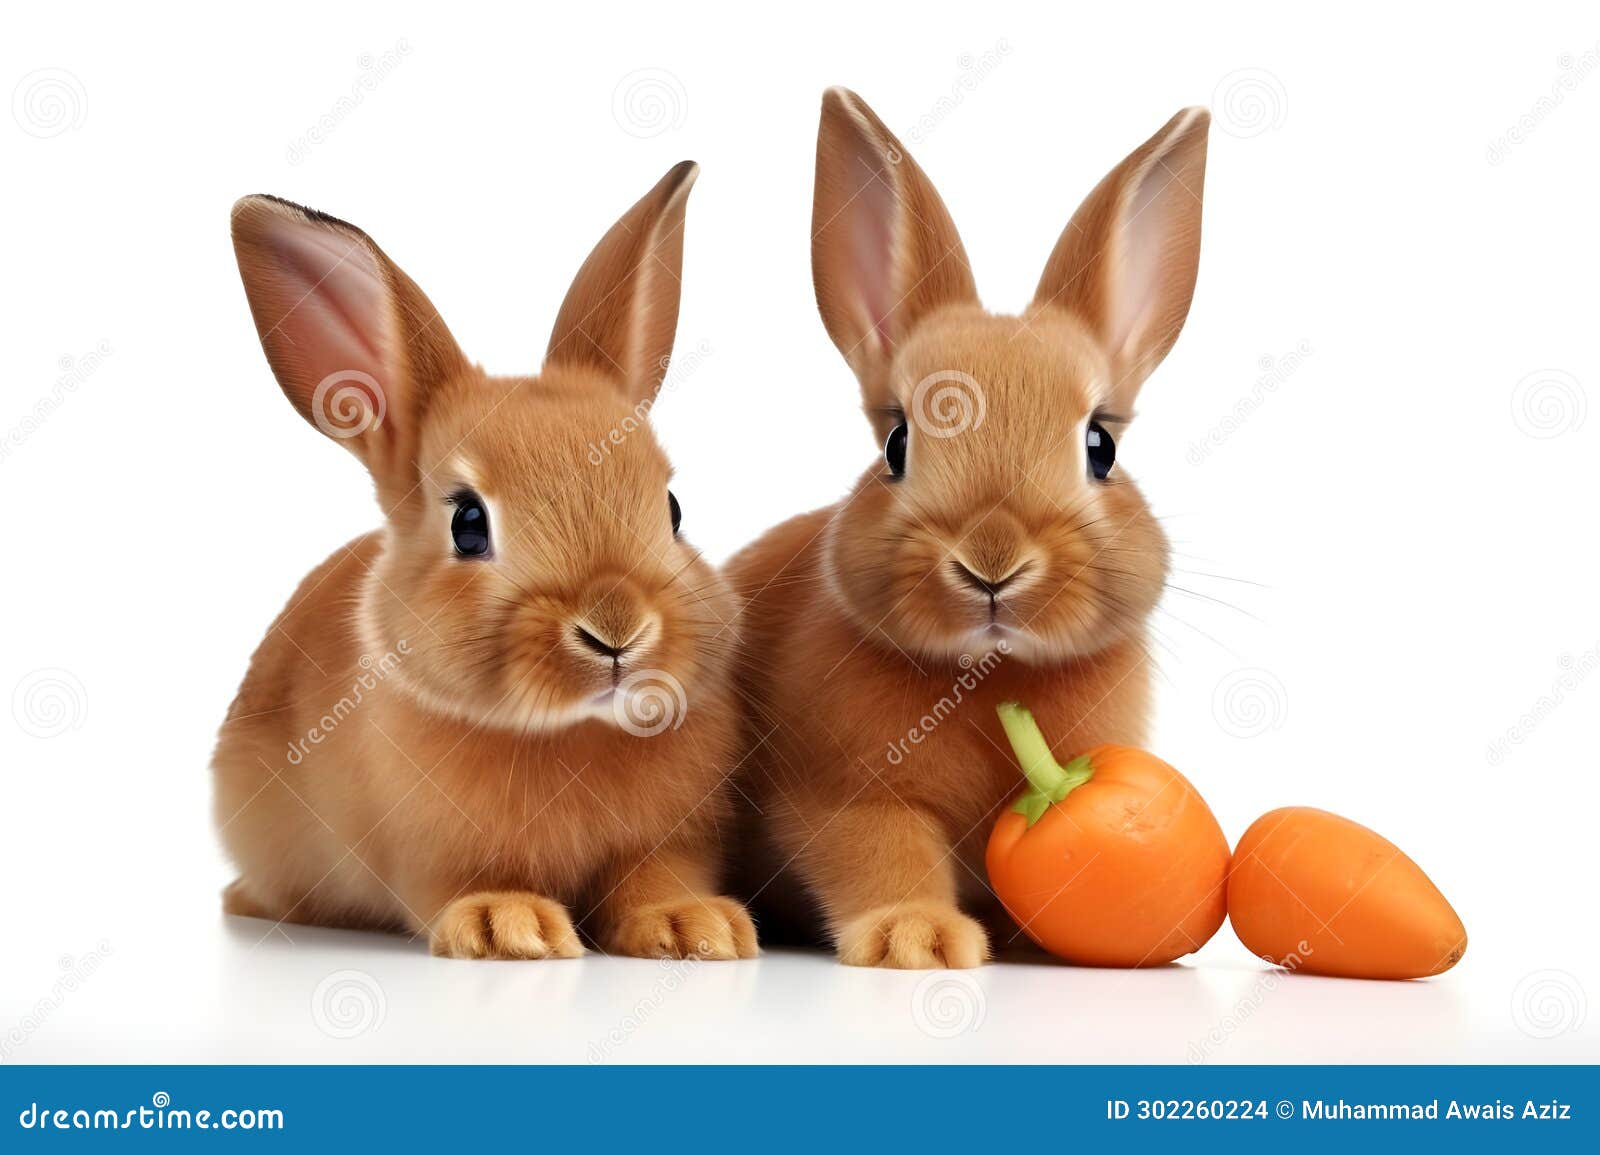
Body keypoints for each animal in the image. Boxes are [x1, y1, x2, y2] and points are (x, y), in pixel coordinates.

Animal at [213, 162, 757, 961]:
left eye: (674, 509)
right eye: (468, 524)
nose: (616, 630)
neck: (572, 731)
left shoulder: (670, 841)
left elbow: (656, 879)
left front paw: (698, 926)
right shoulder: (429, 854)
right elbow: (463, 885)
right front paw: (511, 926)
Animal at [726, 90, 1209, 968]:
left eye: (1100, 446)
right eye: (897, 443)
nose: (992, 562)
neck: (991, 675)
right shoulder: (849, 796)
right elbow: (882, 853)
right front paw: (916, 937)